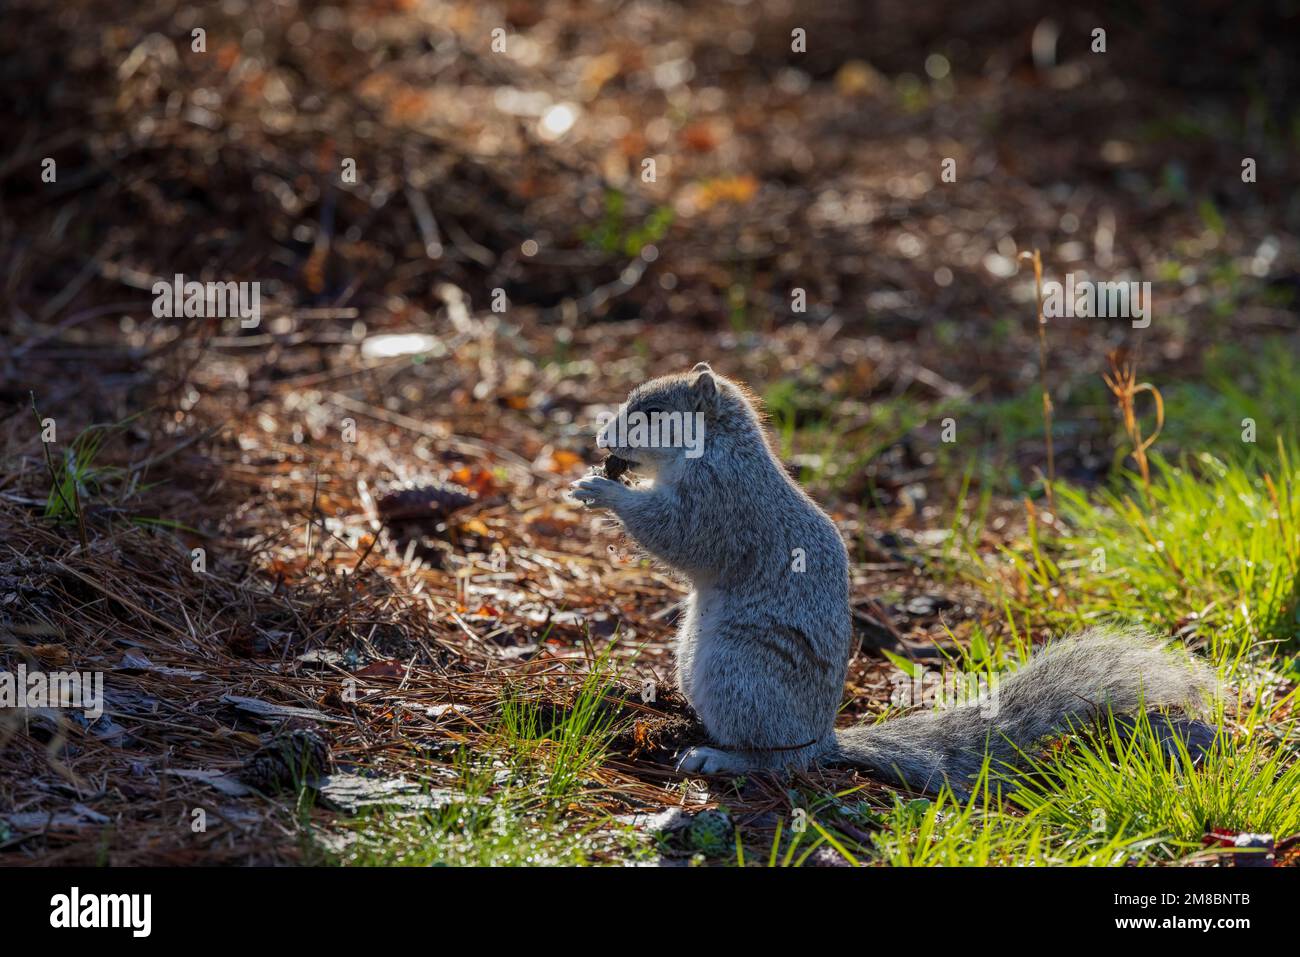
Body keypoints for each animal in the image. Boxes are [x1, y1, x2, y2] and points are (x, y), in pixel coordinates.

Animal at [569, 363, 1217, 793]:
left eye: (654, 415)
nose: (602, 442)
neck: (714, 450)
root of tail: (823, 738)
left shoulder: (725, 502)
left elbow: (683, 537)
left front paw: (605, 491)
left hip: (741, 669)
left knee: (778, 761)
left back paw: (720, 759)